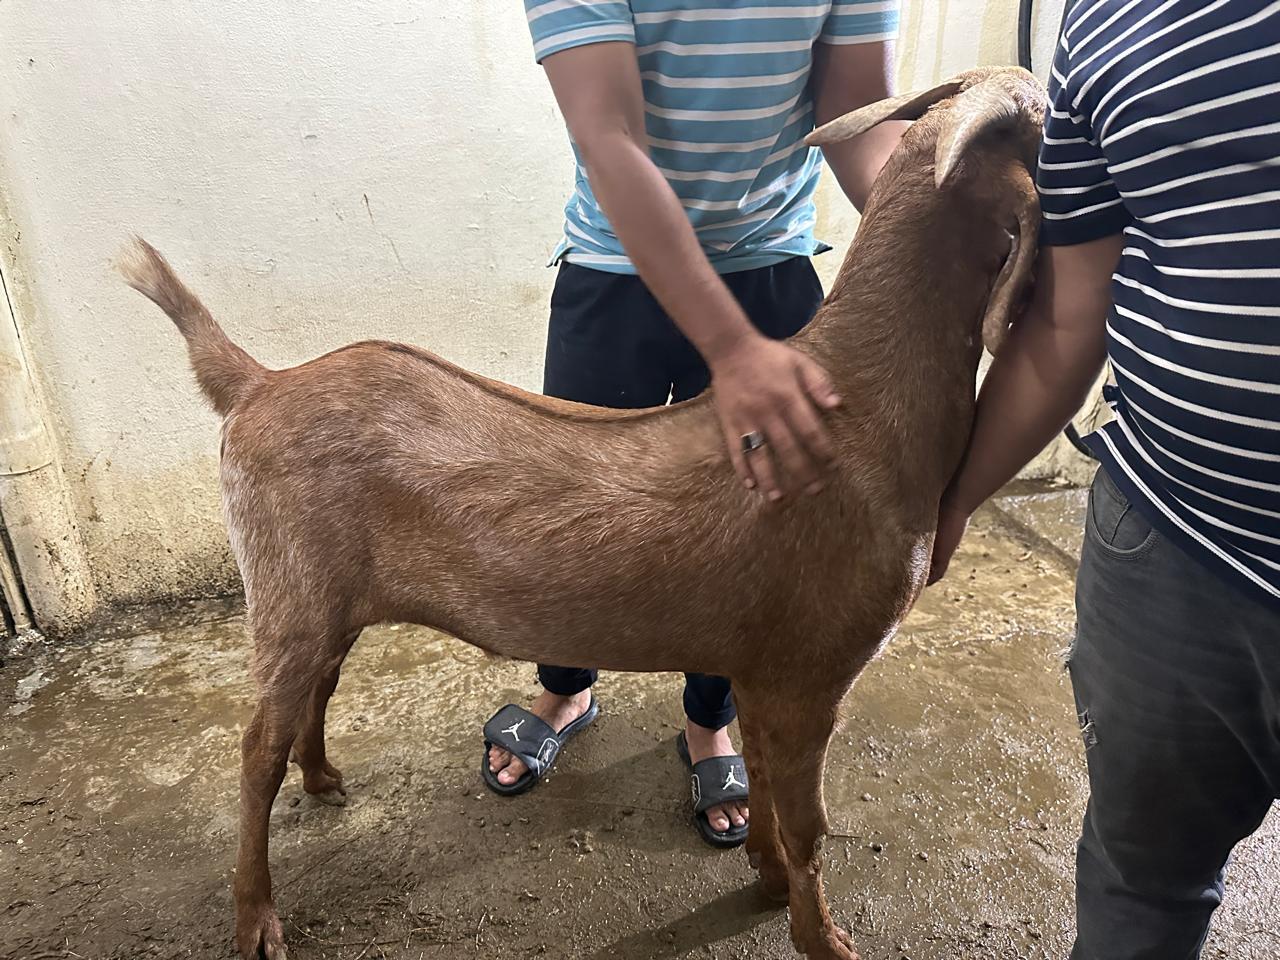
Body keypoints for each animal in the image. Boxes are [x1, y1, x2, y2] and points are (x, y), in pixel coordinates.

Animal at [121, 66, 1046, 960]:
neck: (858, 402)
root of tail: (259, 384)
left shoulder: (755, 666)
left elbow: (767, 795)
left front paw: (765, 876)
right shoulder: (809, 670)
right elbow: (810, 826)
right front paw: (824, 937)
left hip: (323, 598)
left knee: (318, 686)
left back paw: (321, 778)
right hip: (288, 589)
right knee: (254, 752)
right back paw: (257, 918)